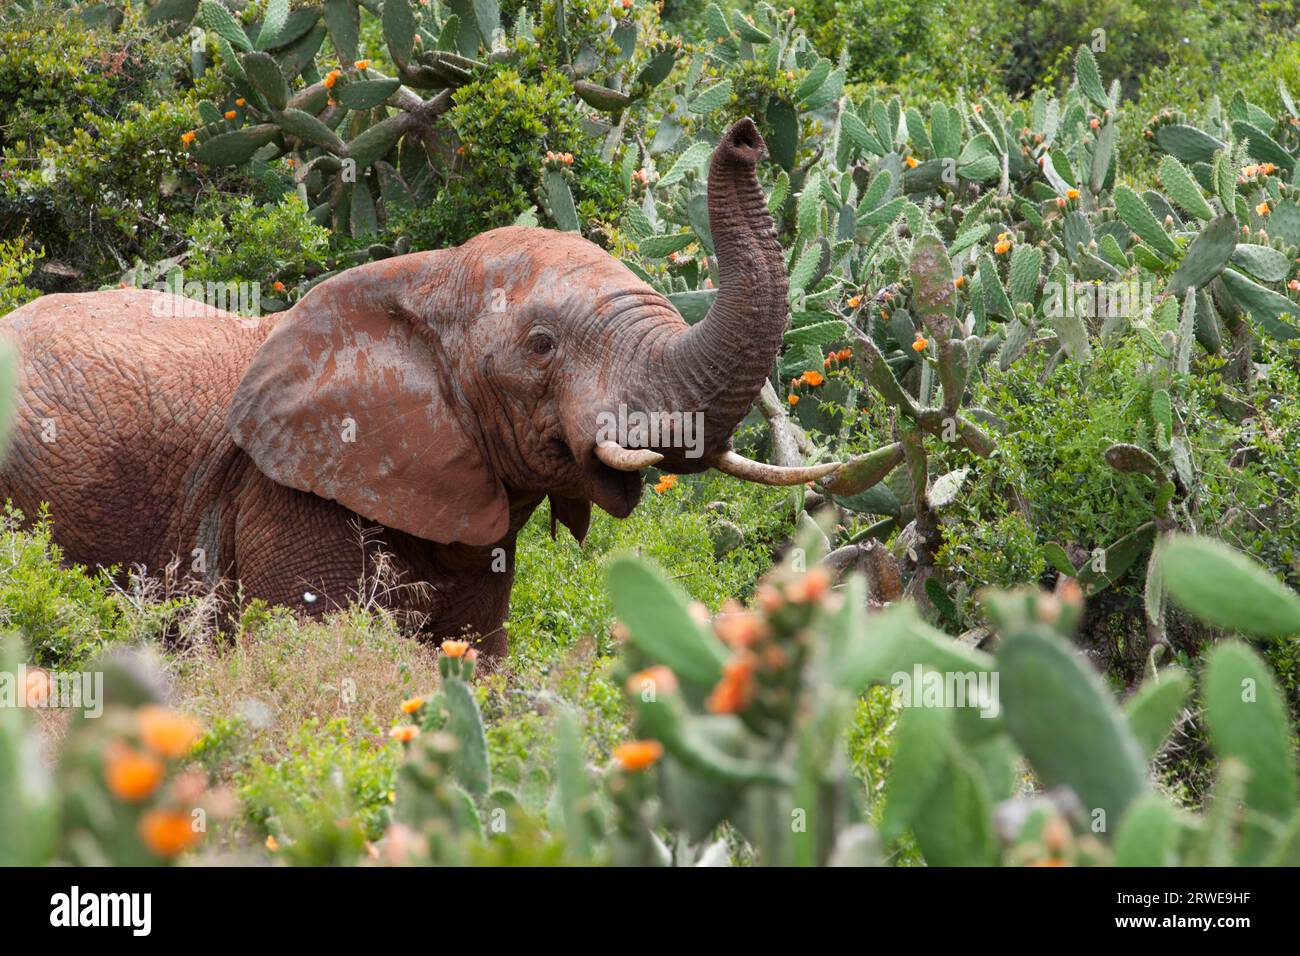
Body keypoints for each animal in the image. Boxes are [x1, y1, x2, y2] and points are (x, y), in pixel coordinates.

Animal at [0, 118, 838, 661]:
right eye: (541, 346)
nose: (746, 135)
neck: (425, 277)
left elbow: (477, 656)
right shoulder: (285, 488)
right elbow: (315, 651)